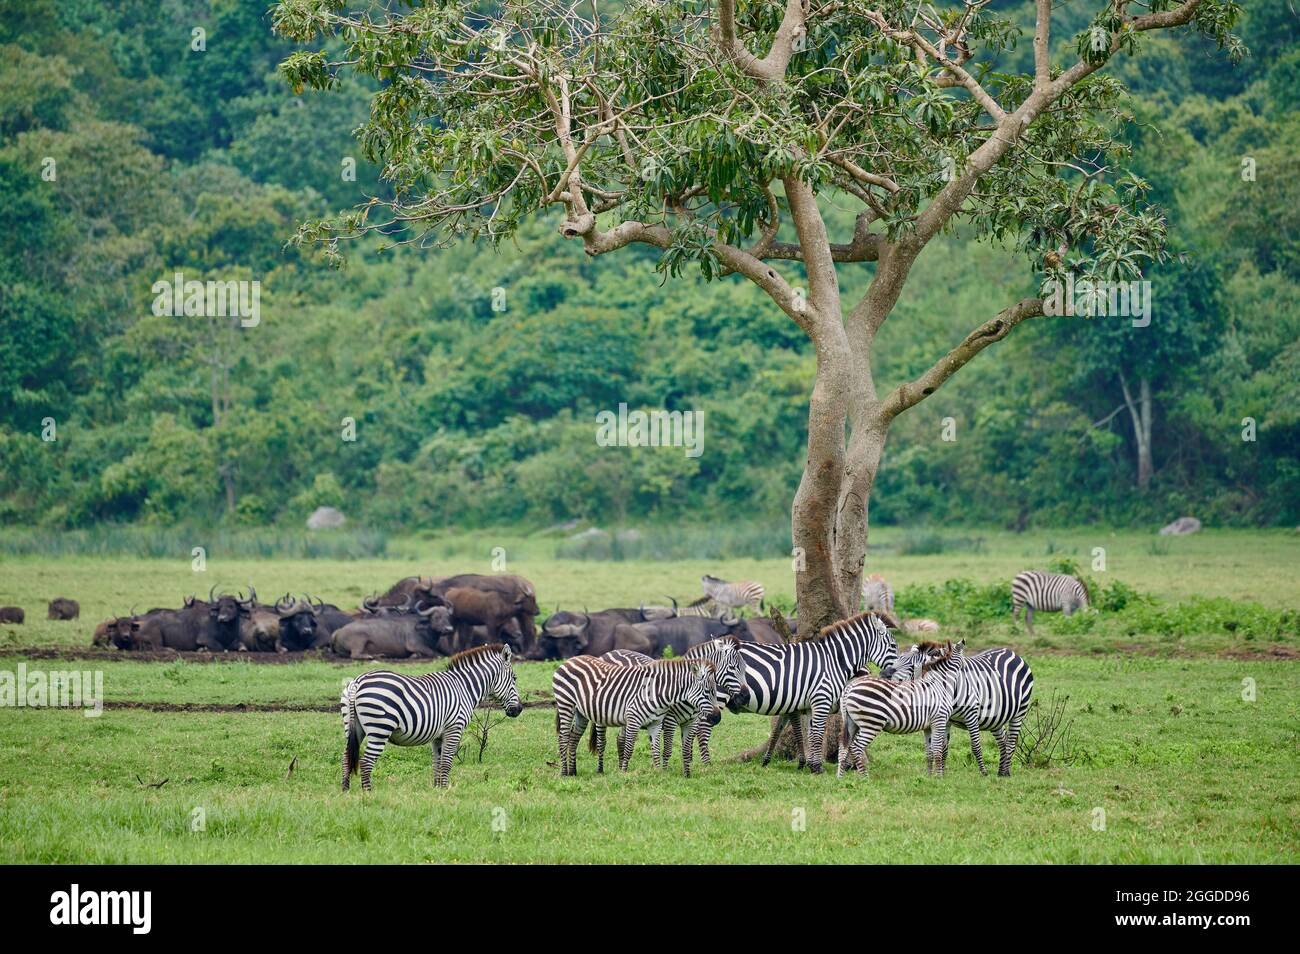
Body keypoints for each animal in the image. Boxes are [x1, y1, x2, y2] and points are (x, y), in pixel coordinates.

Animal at [340, 643, 523, 791]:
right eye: (514, 678)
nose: (519, 709)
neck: (464, 688)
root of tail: (358, 681)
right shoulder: (454, 728)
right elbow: (447, 761)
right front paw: (445, 790)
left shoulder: (438, 735)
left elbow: (437, 762)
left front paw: (437, 790)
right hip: (380, 729)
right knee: (366, 762)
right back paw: (368, 793)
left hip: (353, 728)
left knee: (346, 758)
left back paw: (345, 791)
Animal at [553, 656, 719, 777]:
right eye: (707, 692)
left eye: (715, 691)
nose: (717, 718)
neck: (657, 692)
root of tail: (570, 660)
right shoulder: (635, 719)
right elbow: (629, 748)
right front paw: (624, 773)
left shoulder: (656, 723)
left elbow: (656, 749)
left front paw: (658, 773)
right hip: (566, 705)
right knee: (564, 738)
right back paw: (564, 773)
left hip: (581, 713)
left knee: (574, 738)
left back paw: (573, 772)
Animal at [590, 636, 749, 769]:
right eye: (732, 668)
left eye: (744, 668)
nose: (746, 696)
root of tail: (608, 653)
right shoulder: (669, 721)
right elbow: (667, 750)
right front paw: (665, 771)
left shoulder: (692, 722)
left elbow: (687, 747)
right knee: (602, 741)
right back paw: (601, 769)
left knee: (620, 738)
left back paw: (620, 767)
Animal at [693, 611, 899, 774]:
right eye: (894, 647)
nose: (893, 675)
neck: (833, 660)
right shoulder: (821, 699)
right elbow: (817, 734)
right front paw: (818, 768)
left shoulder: (809, 704)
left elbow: (809, 734)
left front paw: (811, 764)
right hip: (718, 695)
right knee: (703, 728)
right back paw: (707, 765)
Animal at [883, 639, 1033, 776]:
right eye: (899, 658)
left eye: (912, 665)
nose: (883, 674)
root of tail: (1011, 652)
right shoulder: (945, 719)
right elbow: (943, 747)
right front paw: (942, 773)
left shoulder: (971, 714)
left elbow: (975, 745)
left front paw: (983, 773)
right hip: (995, 718)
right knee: (1003, 741)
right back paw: (1001, 772)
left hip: (1019, 713)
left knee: (1011, 742)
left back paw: (1006, 772)